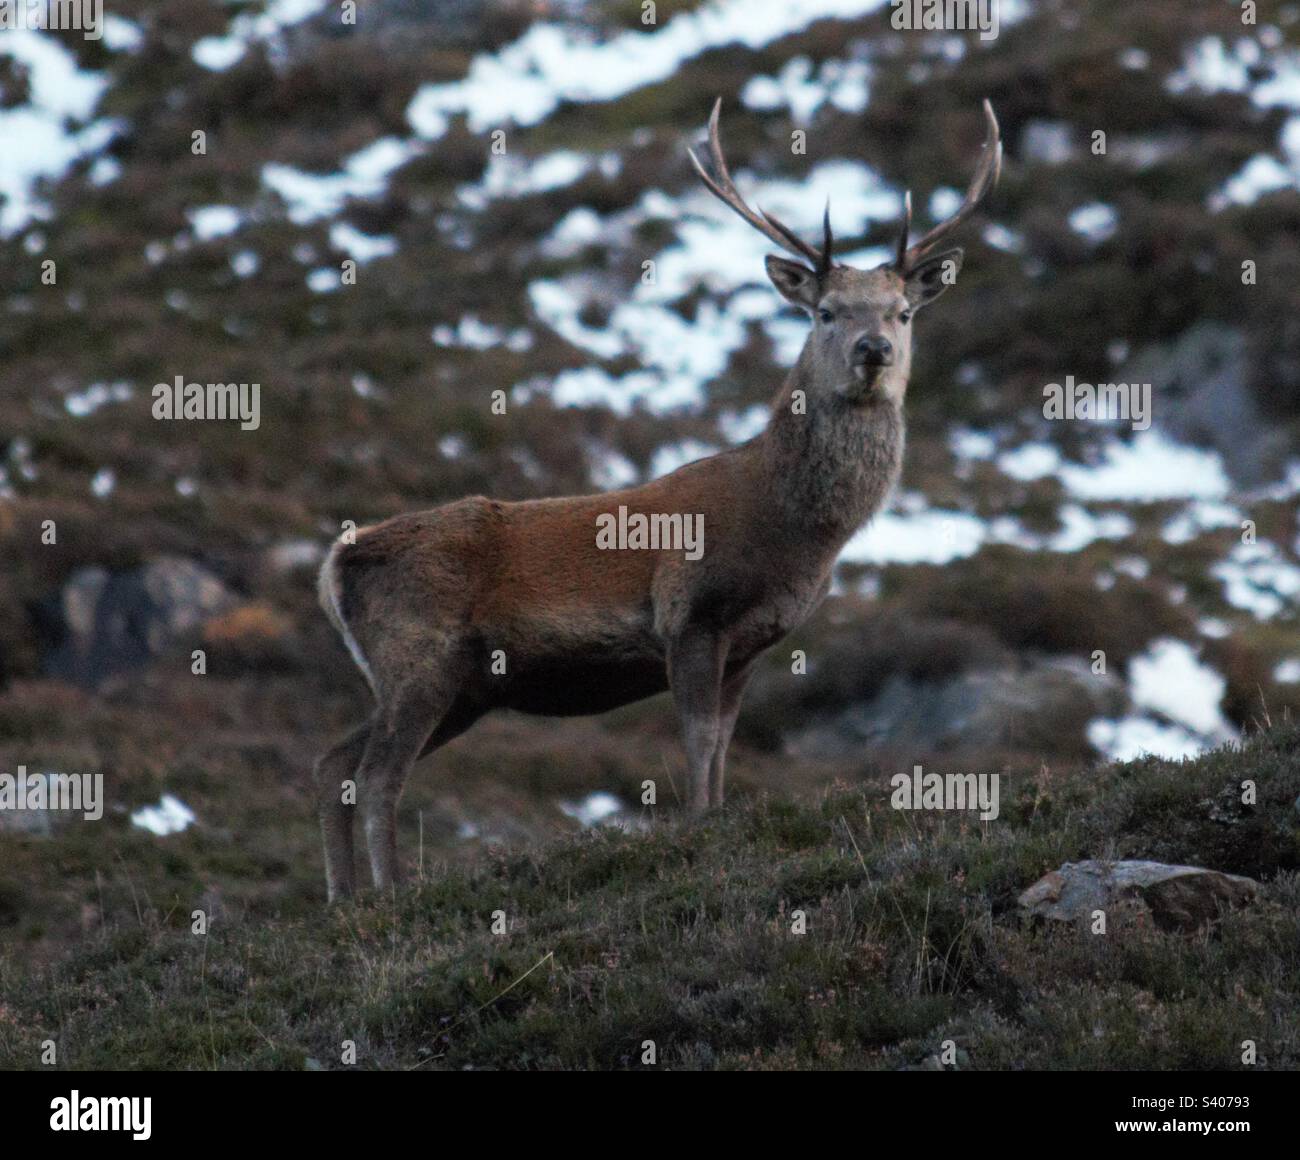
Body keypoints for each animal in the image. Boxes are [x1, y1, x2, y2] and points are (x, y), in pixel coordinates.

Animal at [314, 98, 1001, 901]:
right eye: (827, 311)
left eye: (901, 312)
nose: (873, 351)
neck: (791, 530)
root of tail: (334, 566)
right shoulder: (691, 613)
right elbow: (697, 737)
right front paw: (697, 829)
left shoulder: (752, 643)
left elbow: (724, 743)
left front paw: (721, 820)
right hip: (418, 657)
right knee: (375, 775)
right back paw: (391, 896)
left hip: (453, 686)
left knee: (335, 763)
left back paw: (343, 901)